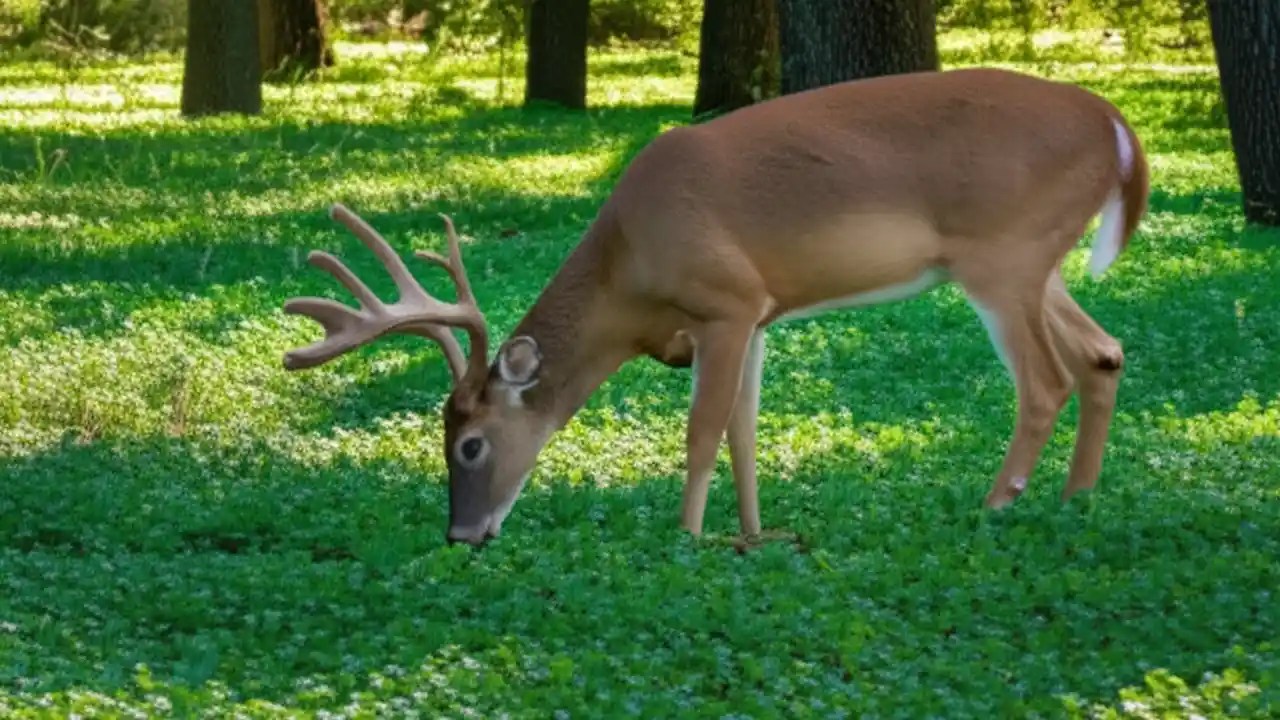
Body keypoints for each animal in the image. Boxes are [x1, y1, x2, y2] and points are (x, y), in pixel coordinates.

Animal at [280, 67, 1149, 547]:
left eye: (469, 445)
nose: (462, 534)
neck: (631, 269)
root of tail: (1115, 126)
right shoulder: (759, 313)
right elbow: (744, 432)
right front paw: (755, 534)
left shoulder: (725, 302)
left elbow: (702, 433)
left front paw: (688, 536)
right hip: (1041, 262)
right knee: (1104, 354)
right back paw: (1076, 499)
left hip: (1003, 257)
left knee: (1045, 380)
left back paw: (996, 504)